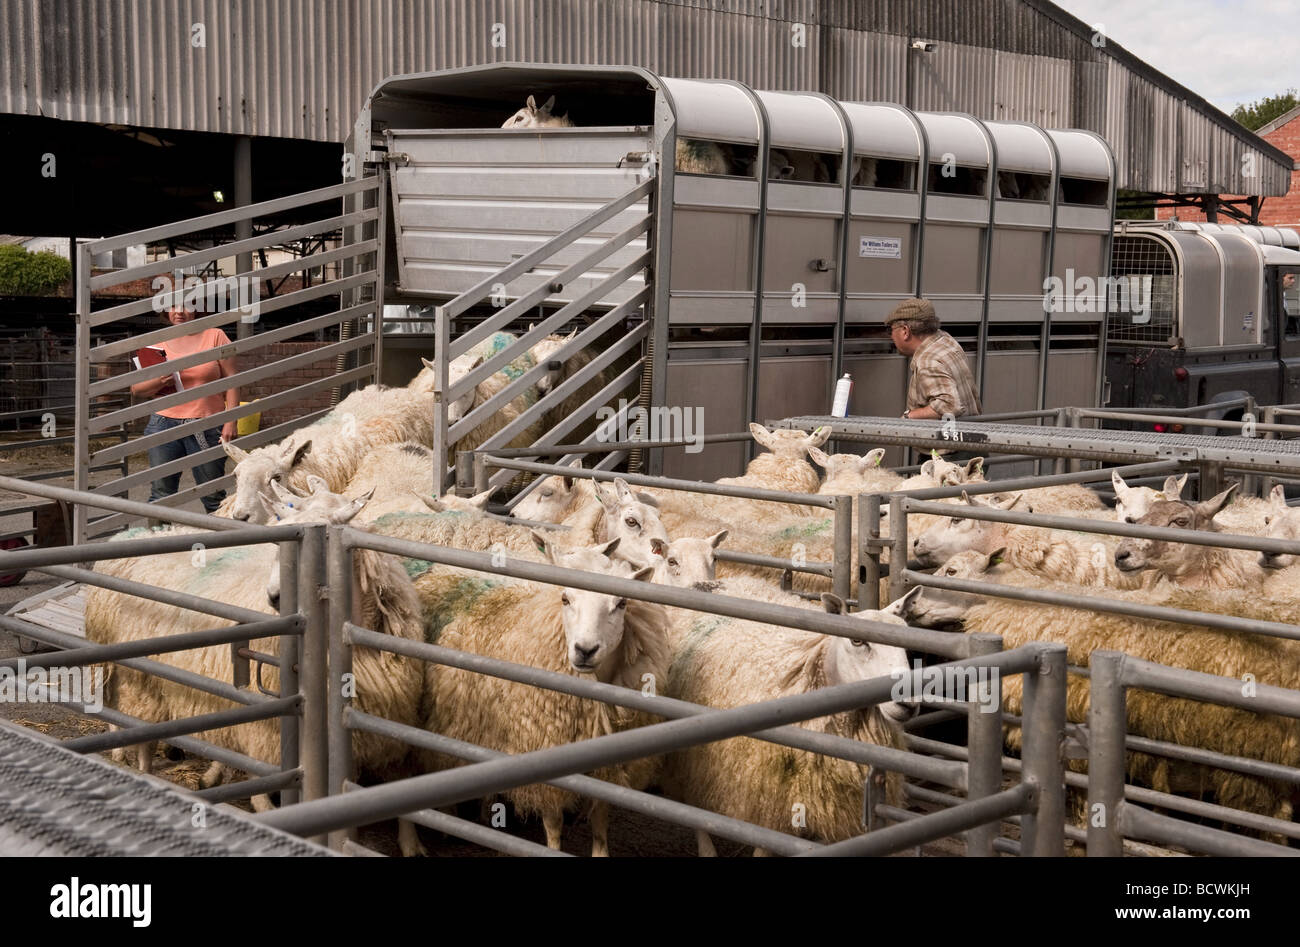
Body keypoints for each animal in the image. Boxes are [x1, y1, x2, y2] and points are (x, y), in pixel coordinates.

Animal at [425, 539, 669, 856]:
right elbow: (553, 824)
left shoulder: (608, 767)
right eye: (565, 599)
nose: (585, 650)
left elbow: (601, 822)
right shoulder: (543, 751)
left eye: (622, 603)